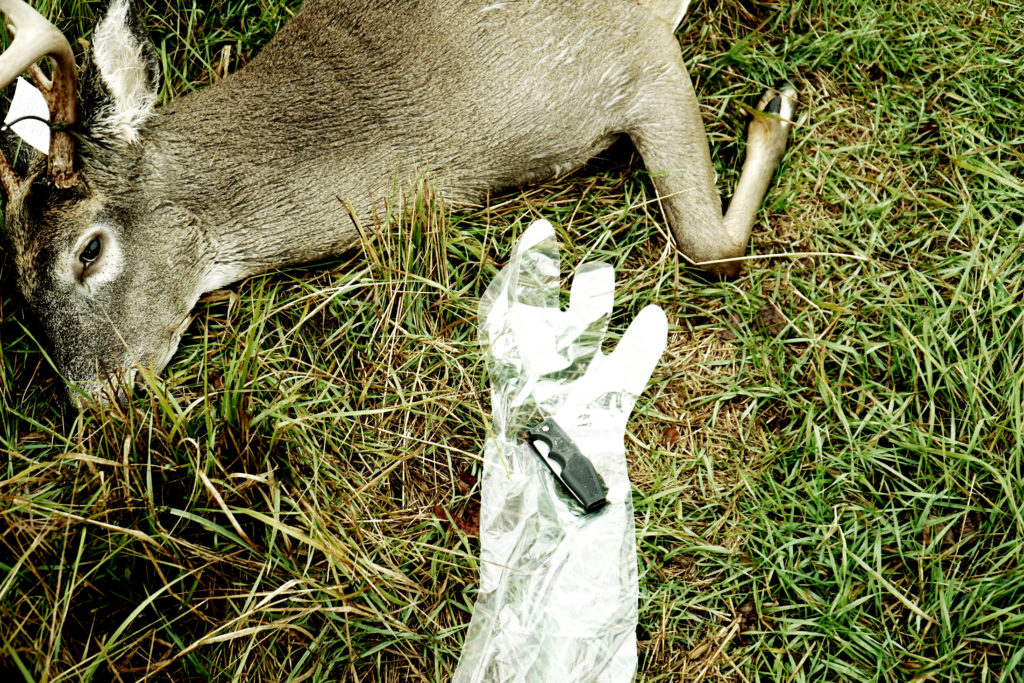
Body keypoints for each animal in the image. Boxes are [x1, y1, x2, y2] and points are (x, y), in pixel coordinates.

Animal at [0, 0, 796, 407]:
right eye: (19, 287)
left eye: (89, 249)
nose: (96, 395)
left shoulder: (634, 53)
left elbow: (711, 246)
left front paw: (776, 107)